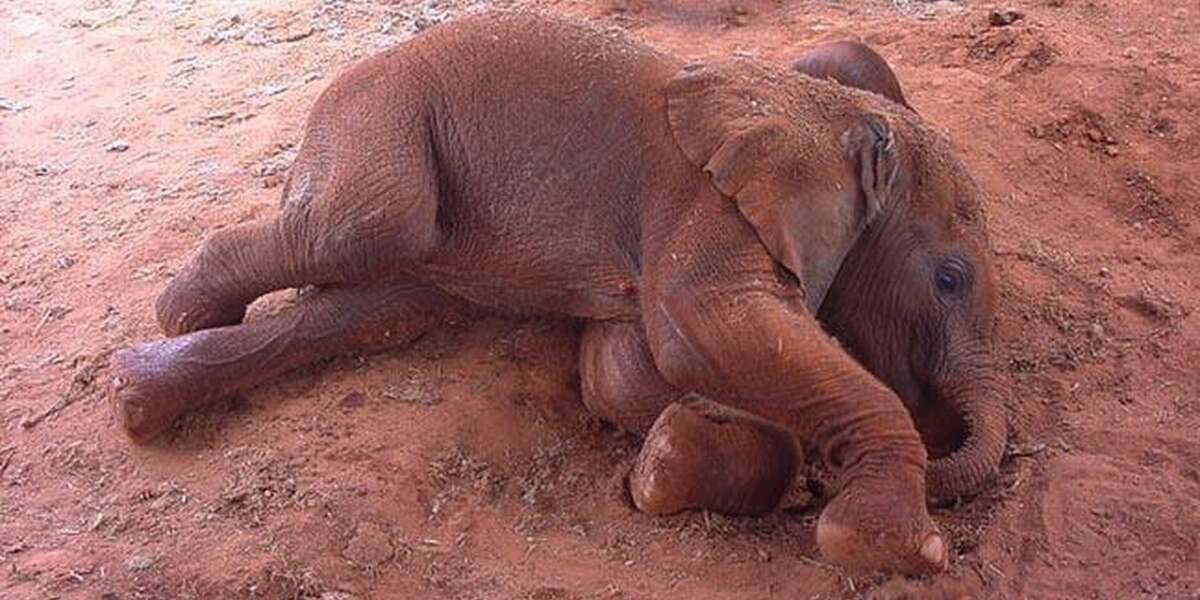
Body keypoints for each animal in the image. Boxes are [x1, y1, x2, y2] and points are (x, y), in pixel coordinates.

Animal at [108, 10, 1006, 575]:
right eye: (949, 279)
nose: (824, 478)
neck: (825, 113)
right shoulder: (697, 203)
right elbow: (695, 331)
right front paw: (892, 546)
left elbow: (620, 368)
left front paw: (673, 463)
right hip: (380, 119)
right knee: (360, 231)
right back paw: (180, 316)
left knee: (369, 310)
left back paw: (138, 391)